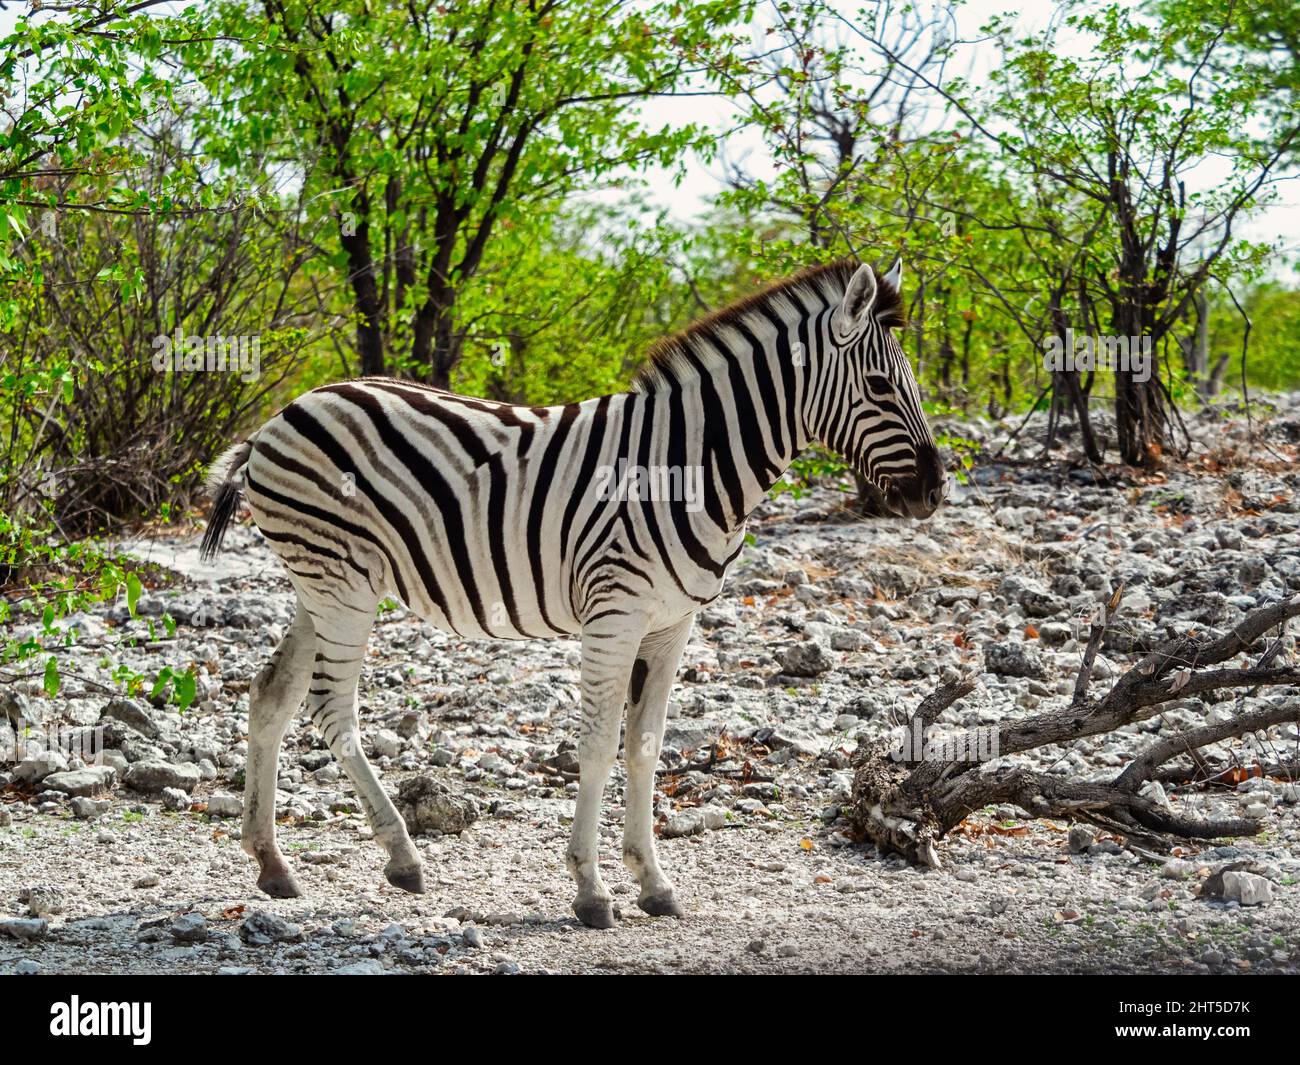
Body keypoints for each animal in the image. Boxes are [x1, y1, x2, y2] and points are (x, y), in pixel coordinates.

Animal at [201, 257, 945, 928]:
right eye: (880, 385)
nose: (935, 492)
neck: (688, 465)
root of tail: (283, 414)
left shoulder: (672, 623)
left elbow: (646, 746)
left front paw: (653, 882)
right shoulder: (614, 614)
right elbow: (595, 745)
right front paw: (591, 890)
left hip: (317, 587)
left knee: (271, 693)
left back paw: (272, 863)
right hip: (342, 582)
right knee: (332, 710)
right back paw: (403, 856)